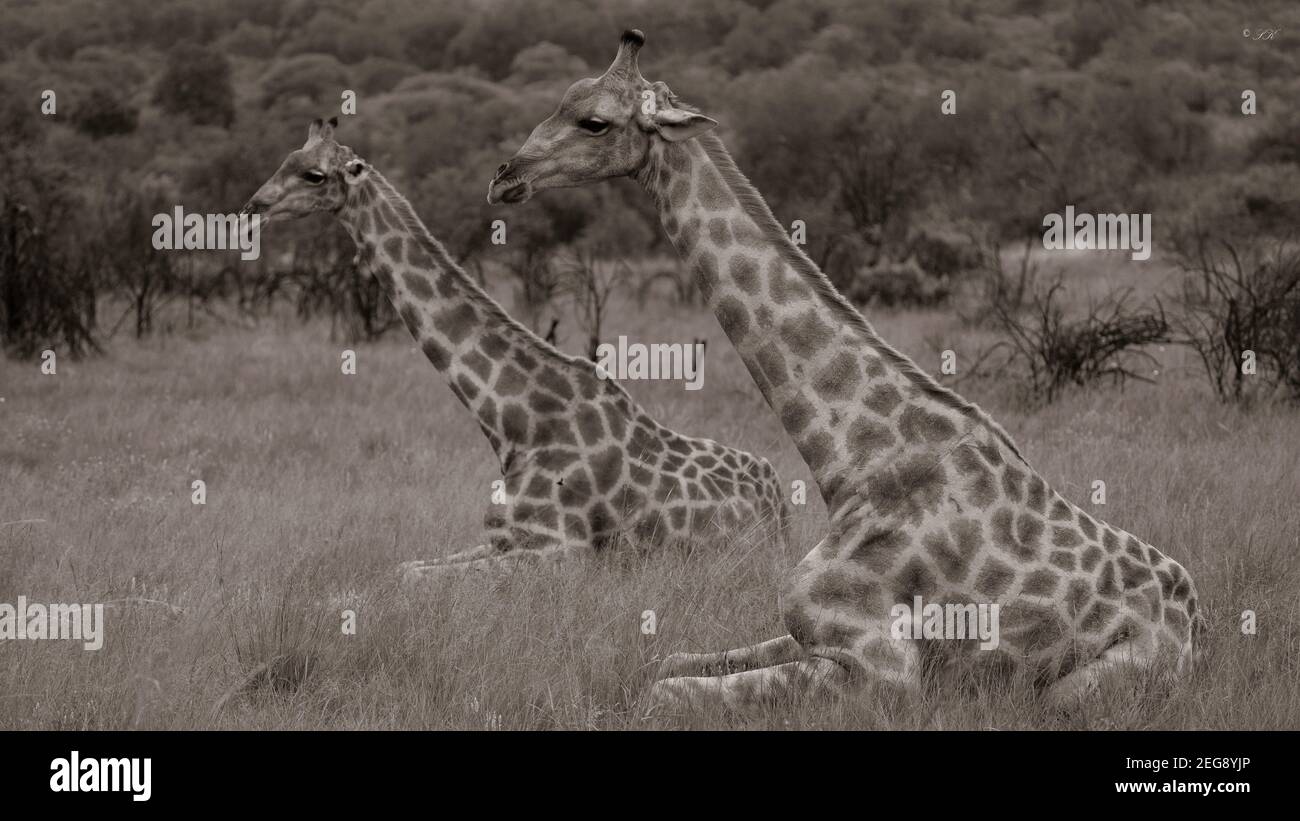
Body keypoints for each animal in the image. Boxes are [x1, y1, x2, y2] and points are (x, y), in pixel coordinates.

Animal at [241, 118, 788, 582]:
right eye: (286, 159)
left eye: (313, 175)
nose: (253, 207)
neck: (513, 424)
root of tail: (781, 504)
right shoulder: (499, 539)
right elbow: (402, 569)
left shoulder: (561, 552)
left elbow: (410, 577)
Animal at [488, 31, 1204, 712]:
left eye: (595, 122)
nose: (504, 177)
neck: (850, 462)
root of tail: (1201, 627)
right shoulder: (803, 633)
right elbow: (660, 662)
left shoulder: (882, 670)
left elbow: (661, 692)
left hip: (1077, 688)